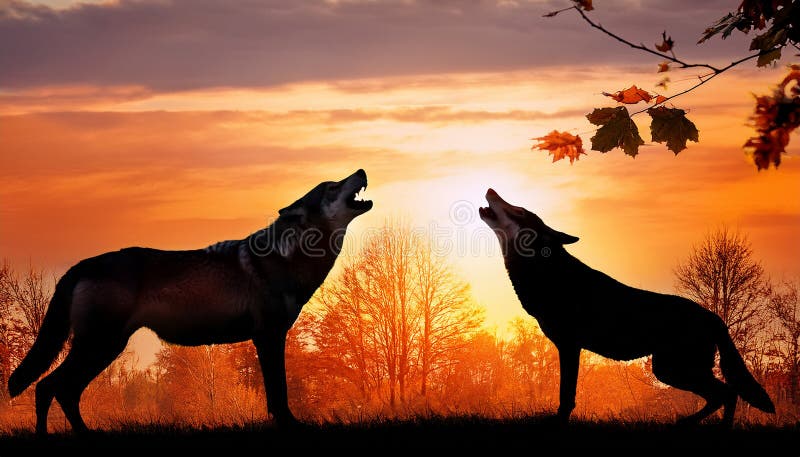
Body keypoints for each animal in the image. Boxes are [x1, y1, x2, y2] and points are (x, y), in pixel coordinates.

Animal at [8, 169, 373, 435]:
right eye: (331, 187)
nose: (361, 170)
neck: (290, 258)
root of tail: (80, 265)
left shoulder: (269, 337)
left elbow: (275, 392)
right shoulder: (269, 337)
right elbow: (278, 392)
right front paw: (290, 426)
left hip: (105, 348)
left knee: (61, 390)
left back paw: (85, 435)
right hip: (101, 346)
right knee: (48, 386)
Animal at [479, 188, 774, 426]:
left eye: (518, 210)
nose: (490, 189)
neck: (547, 273)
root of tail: (715, 318)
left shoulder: (569, 347)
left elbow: (566, 395)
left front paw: (559, 422)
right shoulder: (569, 347)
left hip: (670, 369)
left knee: (727, 393)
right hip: (671, 369)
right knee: (724, 394)